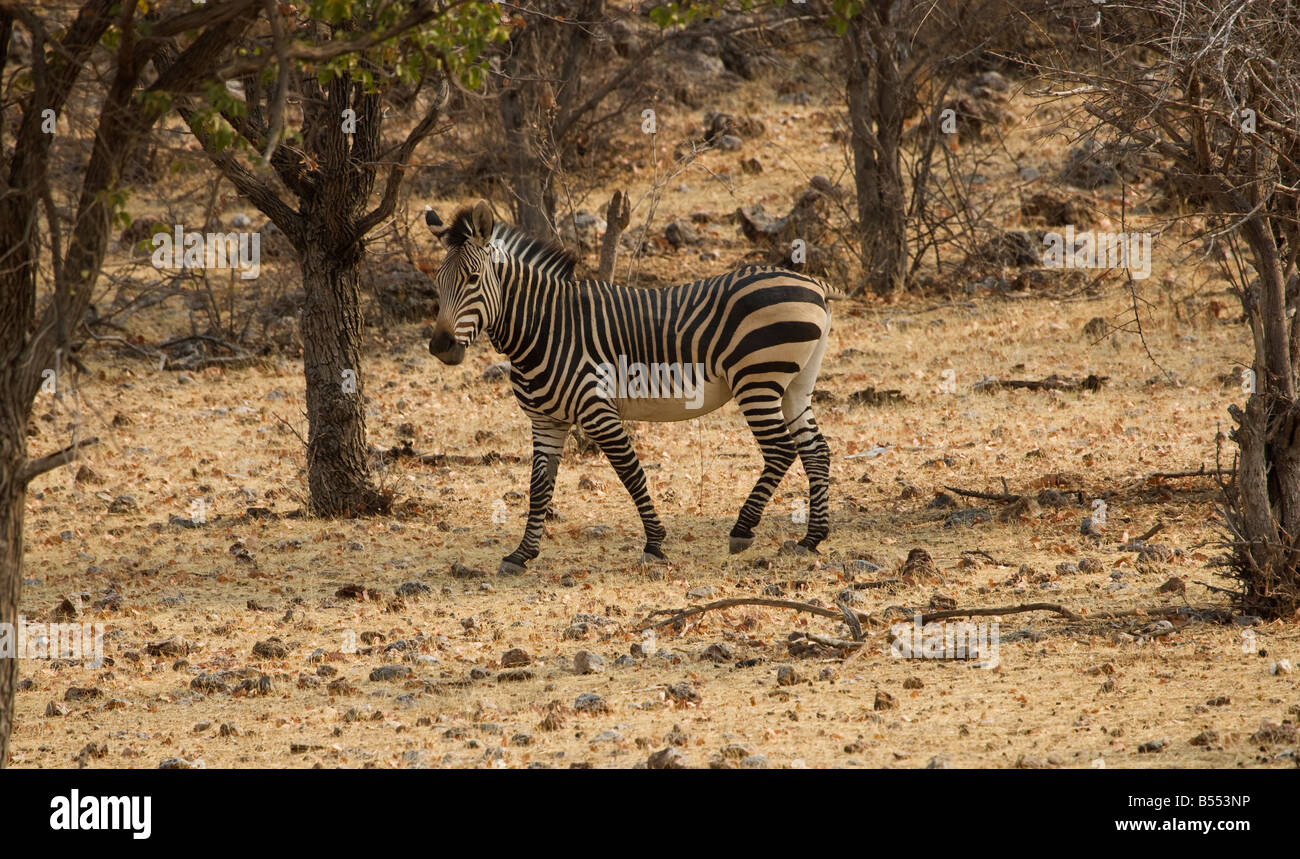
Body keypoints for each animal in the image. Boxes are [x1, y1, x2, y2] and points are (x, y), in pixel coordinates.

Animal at [425, 200, 832, 575]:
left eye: (473, 279)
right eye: (437, 282)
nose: (440, 347)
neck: (544, 328)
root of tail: (813, 286)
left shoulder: (596, 409)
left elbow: (630, 472)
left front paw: (654, 544)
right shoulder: (545, 420)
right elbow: (539, 487)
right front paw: (521, 554)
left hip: (758, 380)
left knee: (781, 449)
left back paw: (743, 530)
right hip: (795, 384)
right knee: (816, 450)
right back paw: (811, 538)